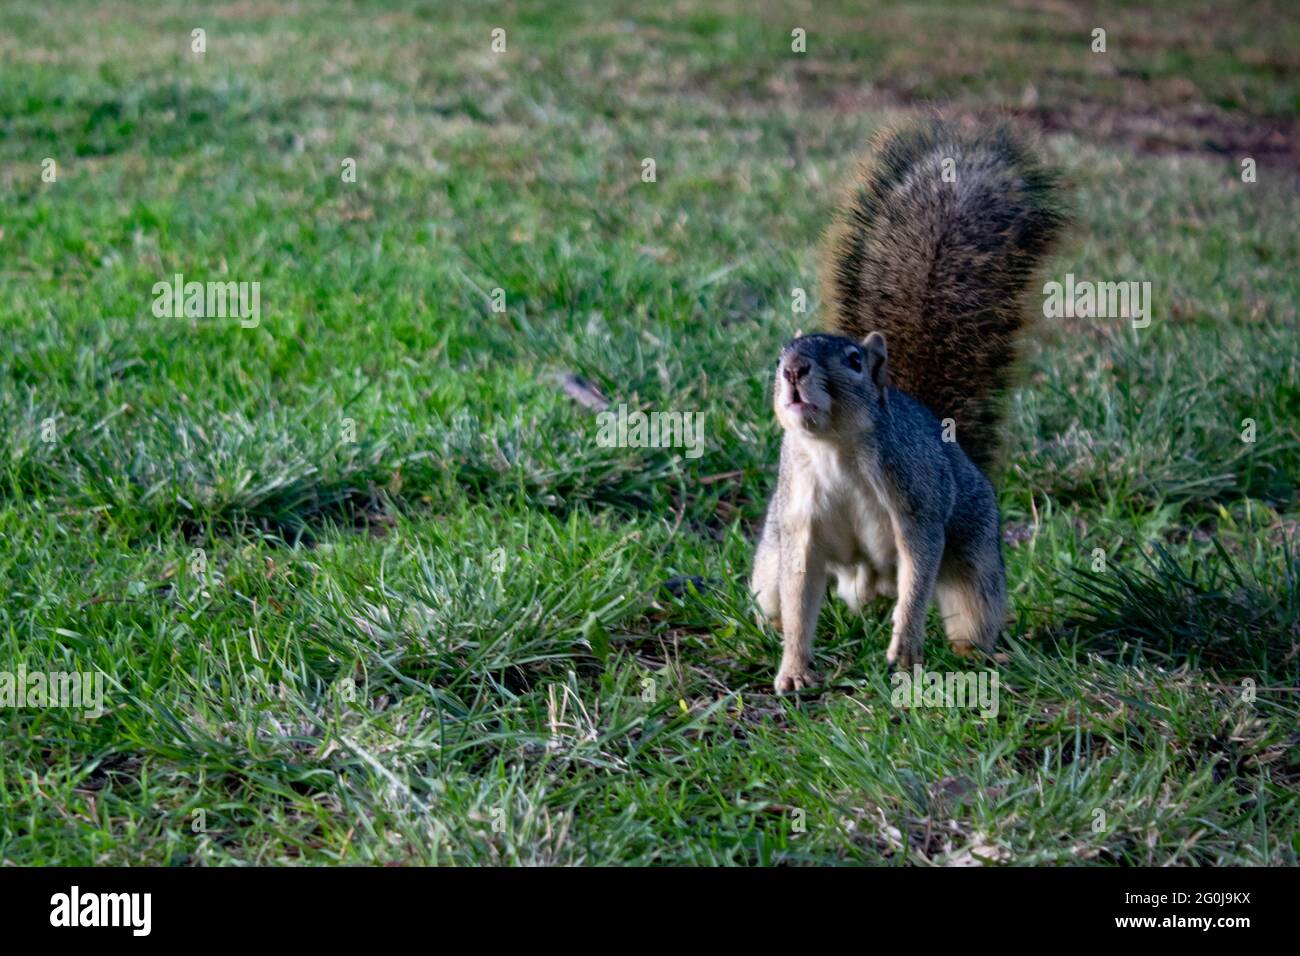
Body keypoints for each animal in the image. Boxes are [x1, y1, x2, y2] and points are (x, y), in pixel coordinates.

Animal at [751, 118, 1067, 693]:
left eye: (854, 361)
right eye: (782, 352)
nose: (793, 370)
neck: (835, 449)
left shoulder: (917, 501)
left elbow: (918, 572)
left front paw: (904, 647)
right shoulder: (799, 525)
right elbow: (800, 593)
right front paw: (794, 670)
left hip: (975, 557)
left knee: (969, 608)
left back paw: (976, 654)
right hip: (770, 559)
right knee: (777, 598)